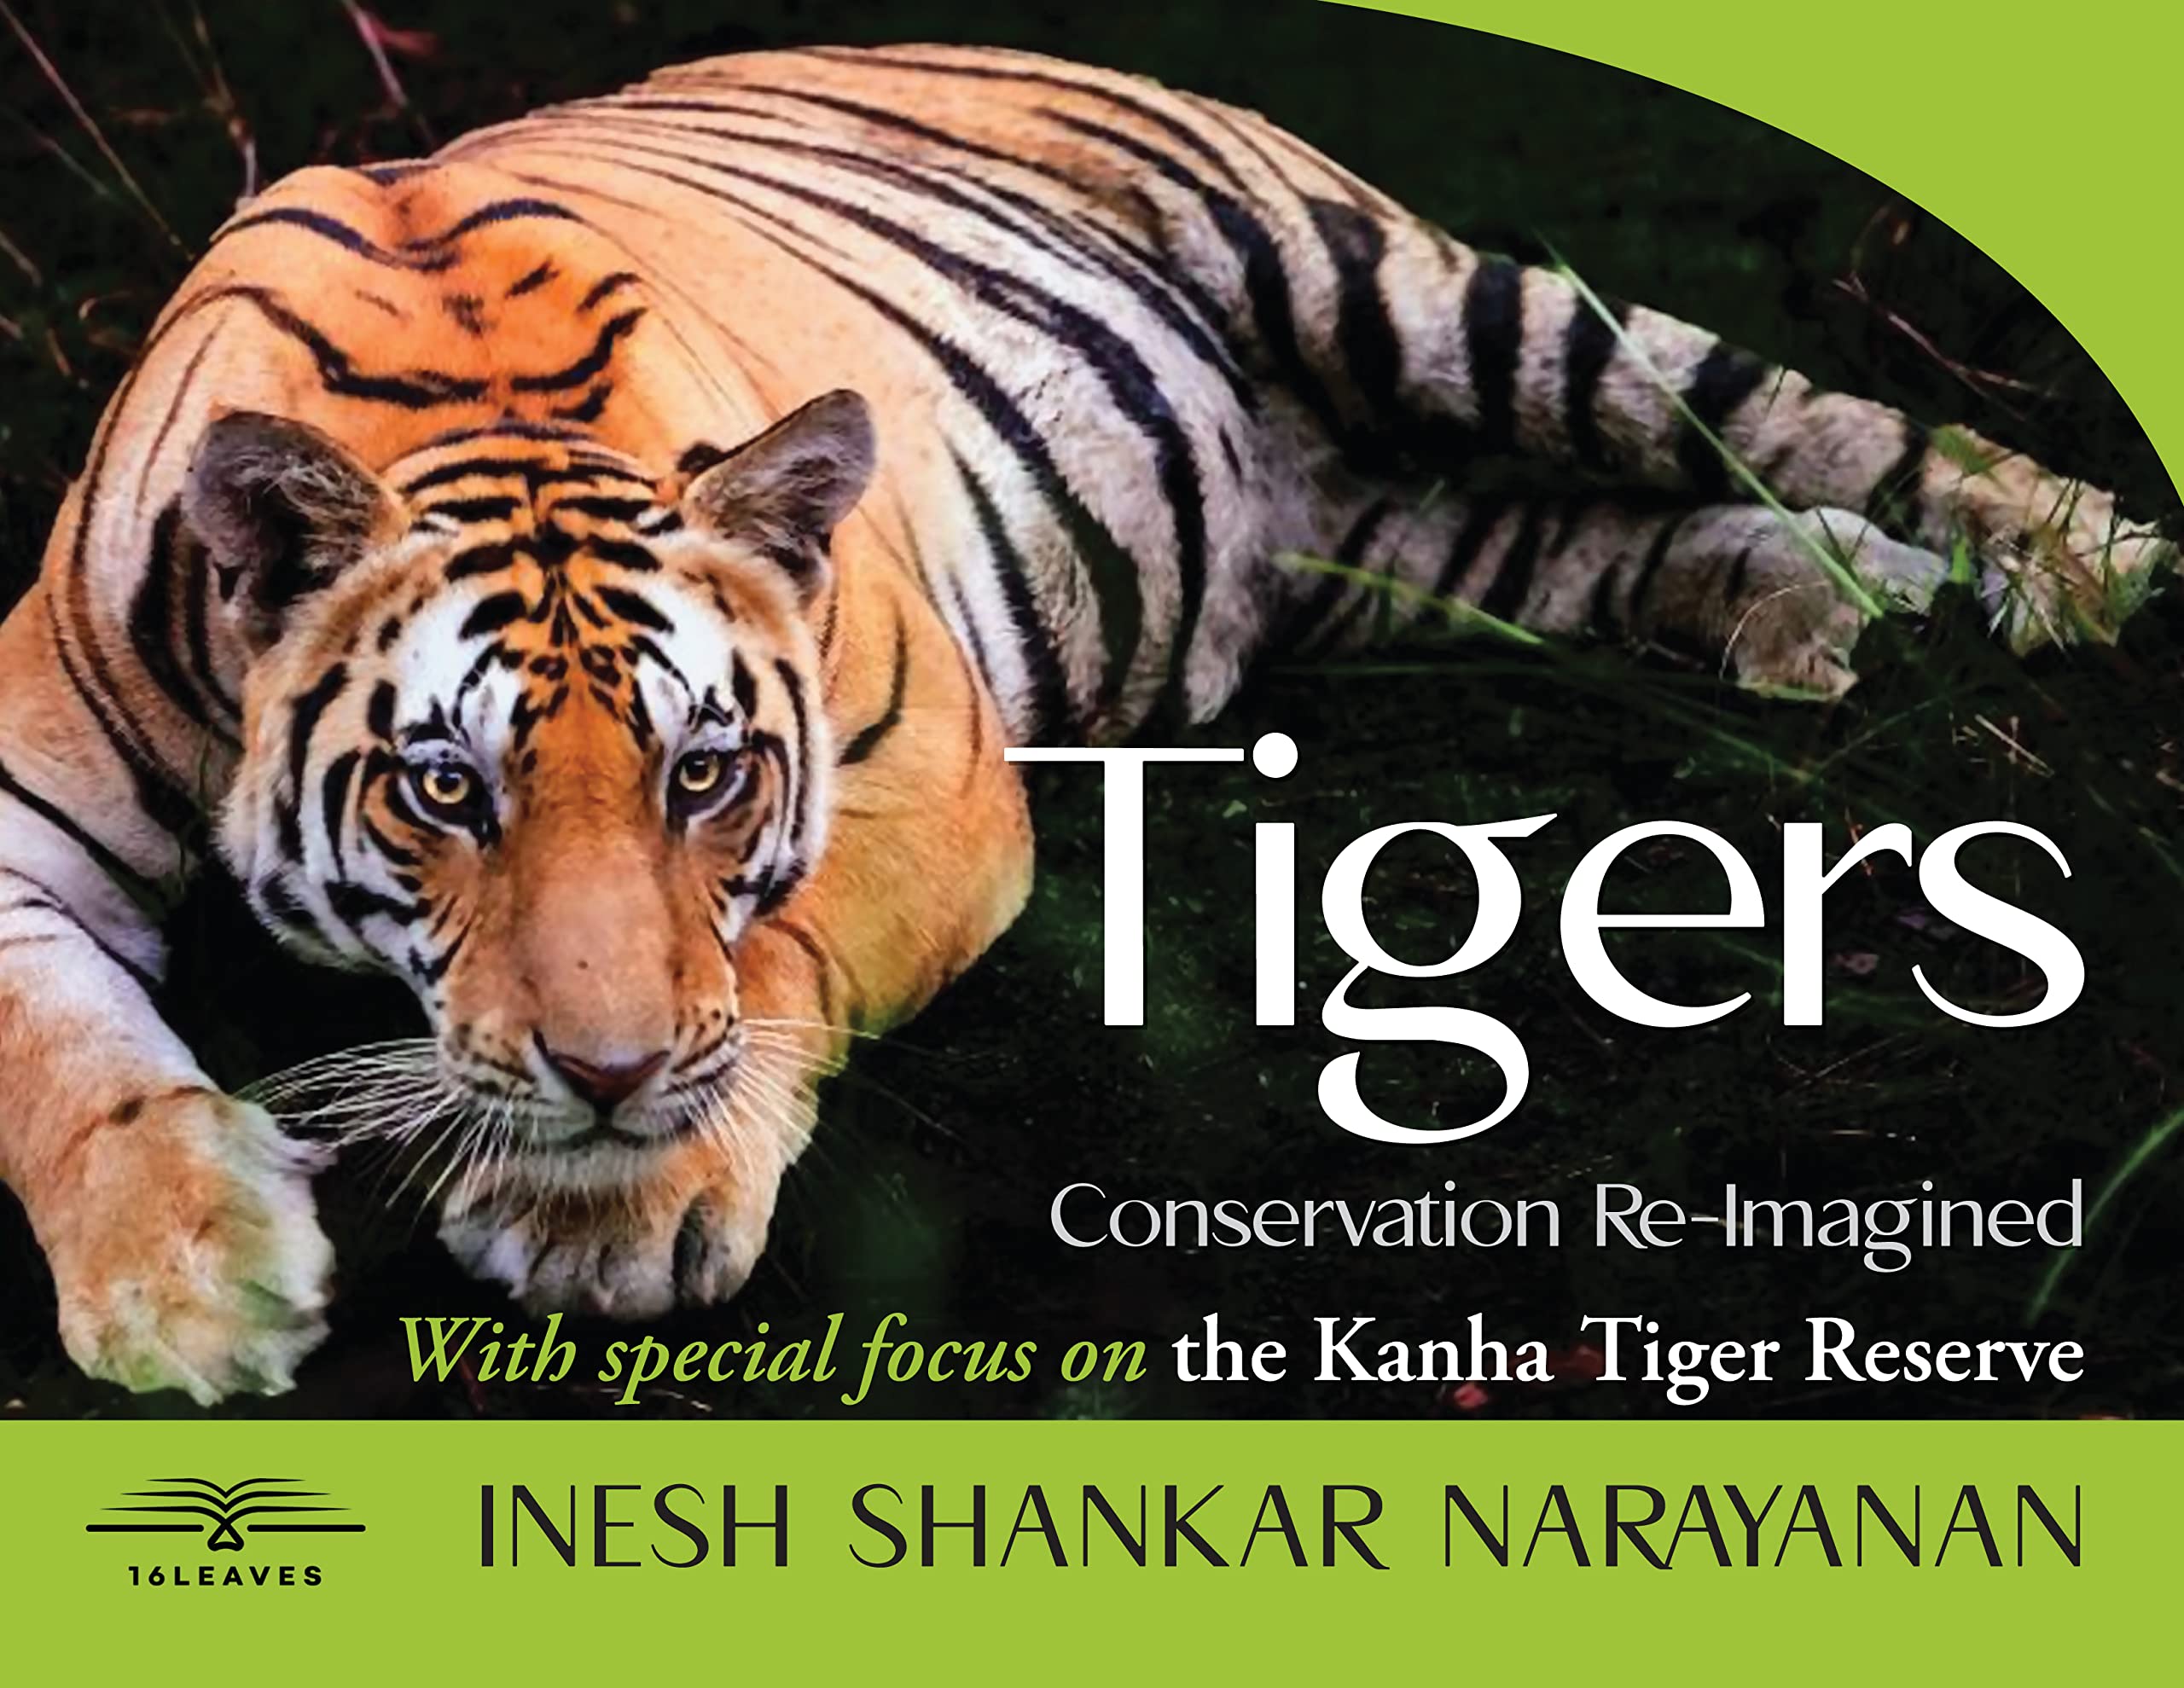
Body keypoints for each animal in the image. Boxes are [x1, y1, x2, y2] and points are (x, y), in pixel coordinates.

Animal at [0, 43, 2166, 1403]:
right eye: (442, 788)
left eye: (707, 774)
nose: (603, 1082)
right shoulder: (24, 820)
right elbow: (63, 1062)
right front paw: (191, 1282)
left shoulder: (929, 781)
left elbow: (763, 963)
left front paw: (606, 1201)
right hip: (1405, 546)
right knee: (1645, 522)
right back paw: (1825, 607)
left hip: (1416, 292)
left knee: (1780, 407)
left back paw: (2072, 554)